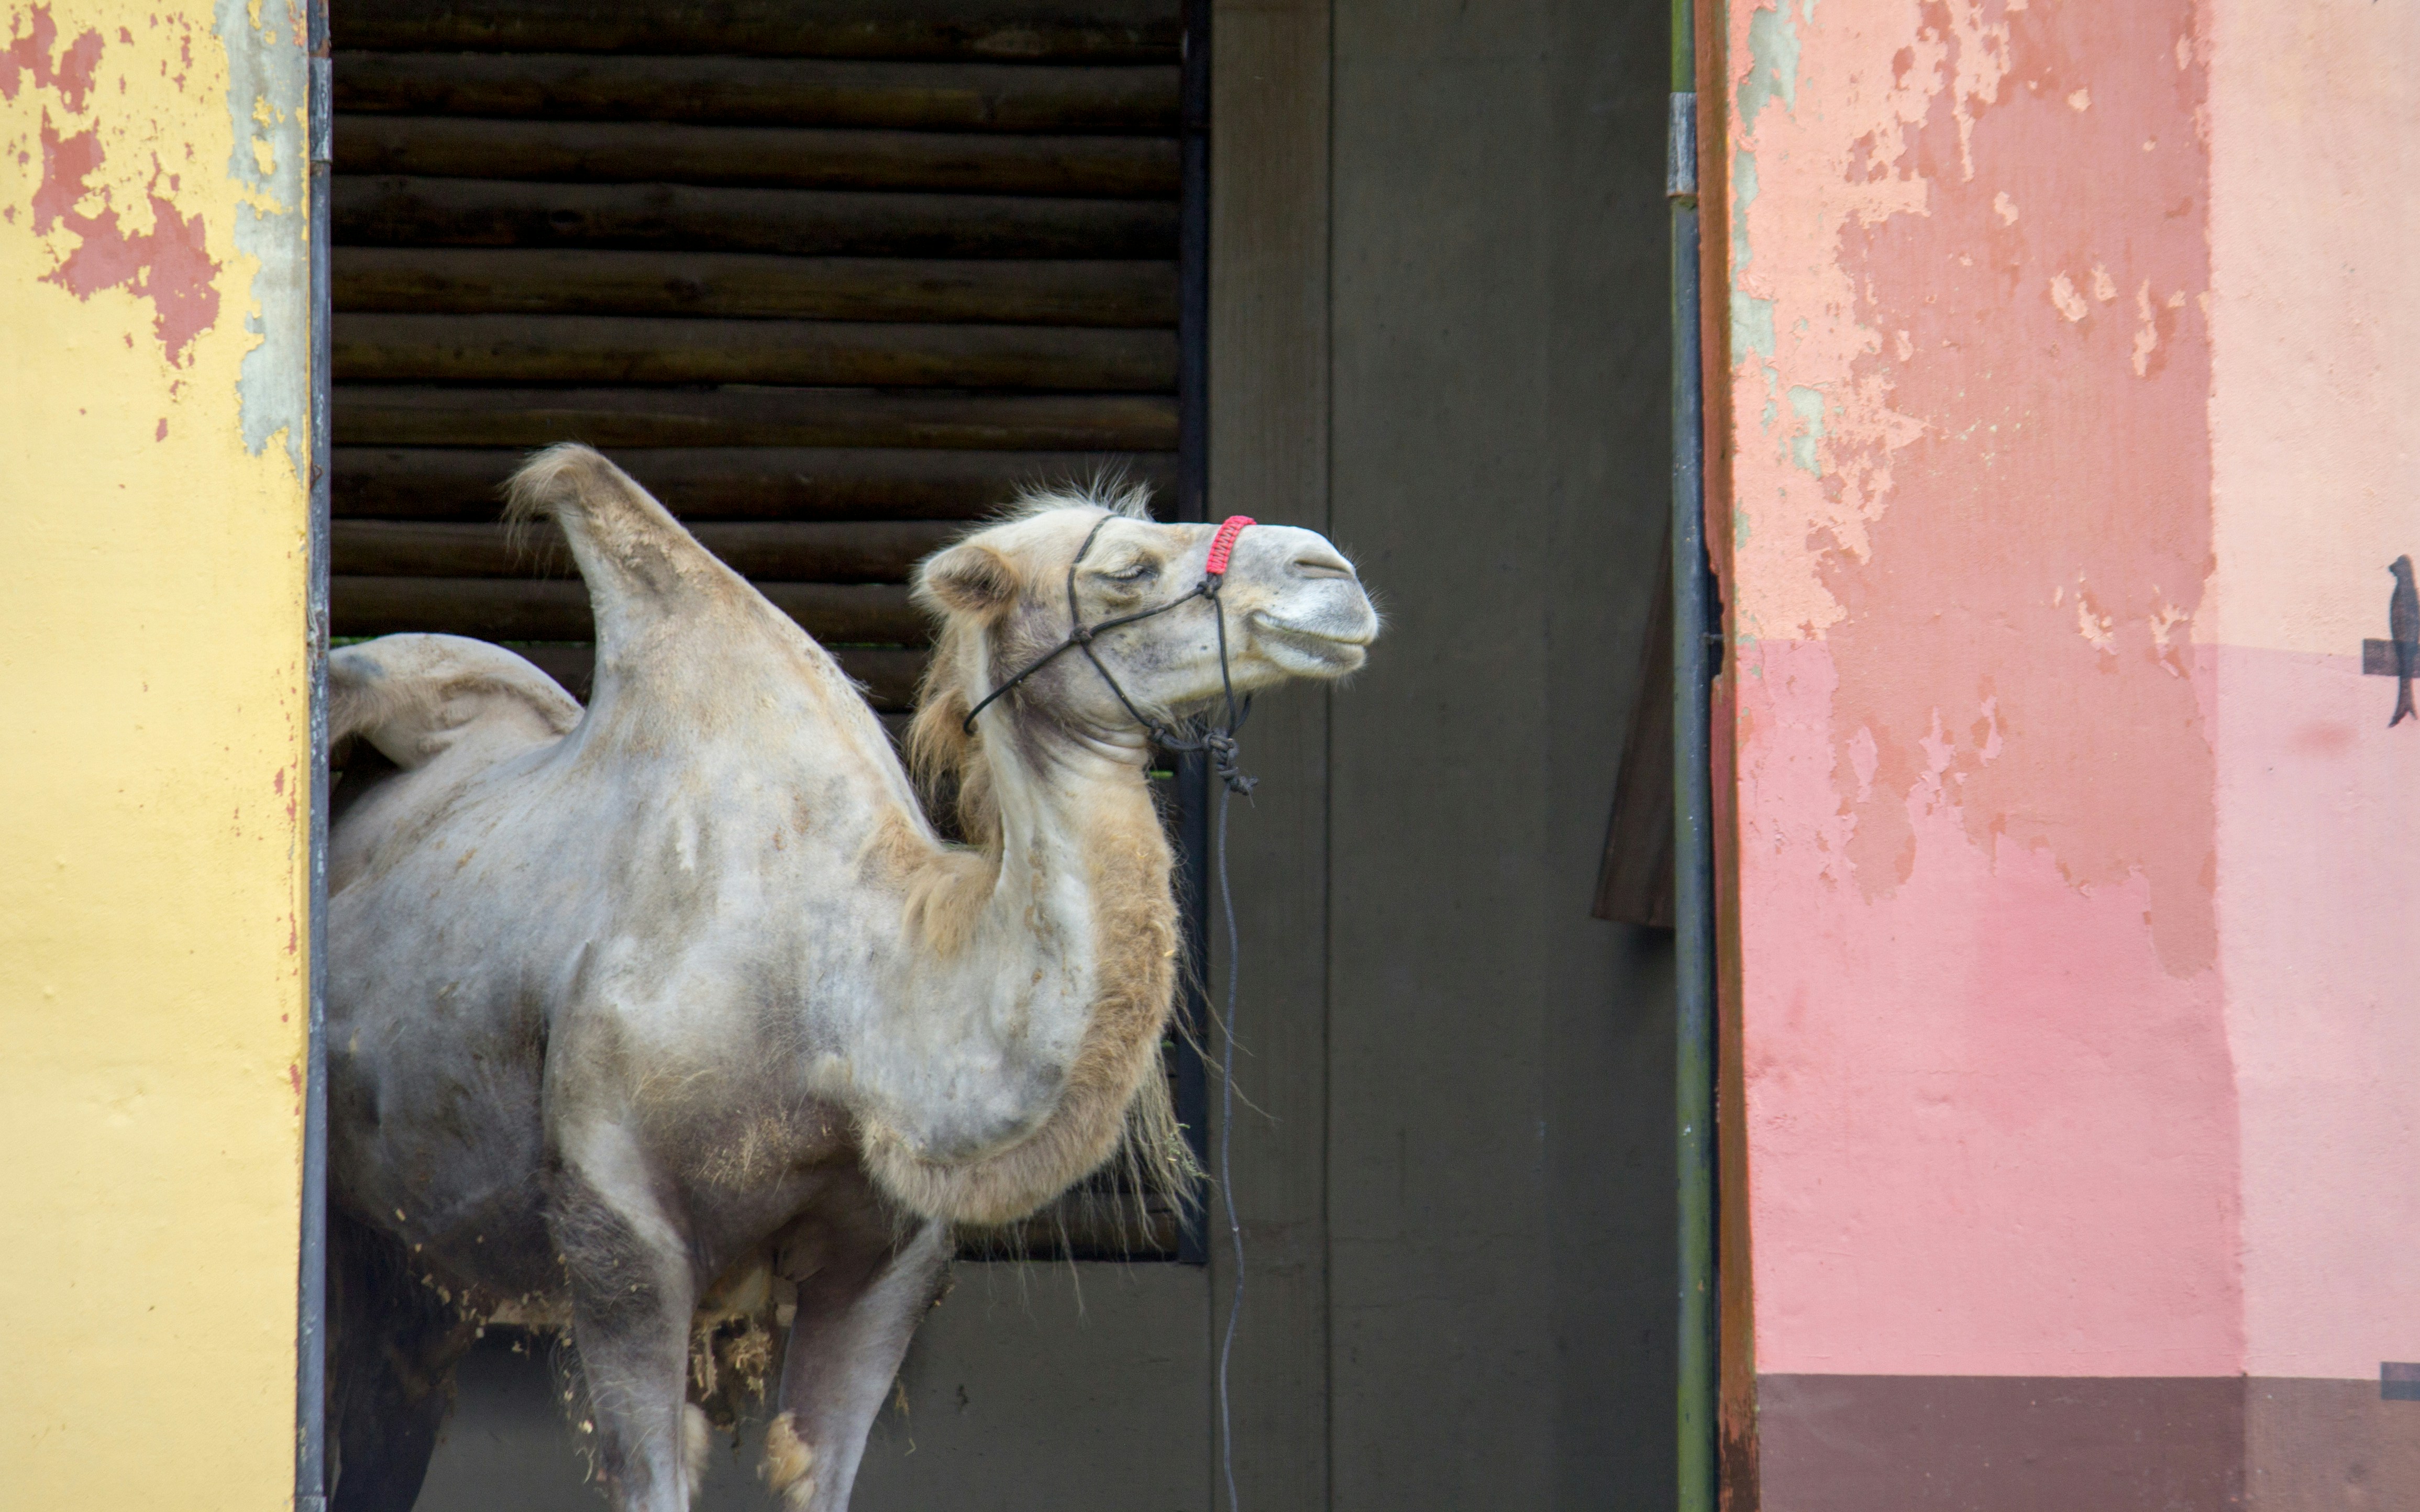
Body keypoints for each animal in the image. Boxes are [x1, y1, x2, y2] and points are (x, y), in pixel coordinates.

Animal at [321, 443, 1377, 1512]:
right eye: (1125, 568)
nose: (1331, 572)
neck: (841, 1005)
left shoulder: (890, 1265)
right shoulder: (618, 1230)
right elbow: (651, 1469)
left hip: (419, 1280)